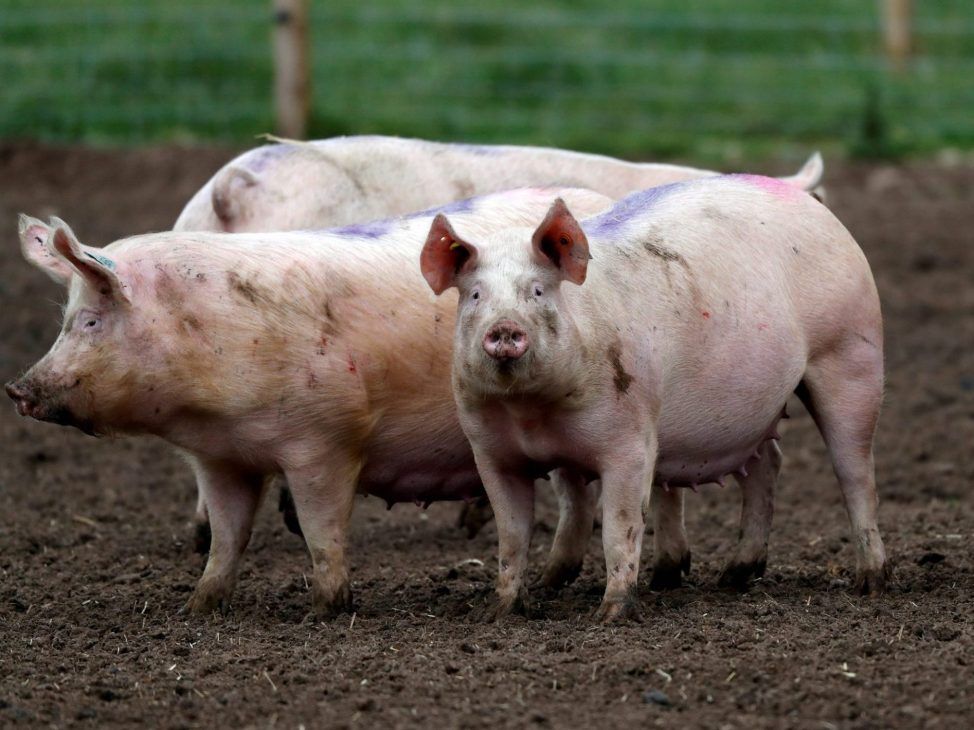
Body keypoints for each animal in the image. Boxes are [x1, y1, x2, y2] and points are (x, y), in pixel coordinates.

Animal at [6, 187, 617, 618]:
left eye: (91, 320)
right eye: (65, 320)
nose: (17, 390)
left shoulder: (323, 440)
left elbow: (322, 528)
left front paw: (325, 610)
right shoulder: (219, 460)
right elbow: (227, 537)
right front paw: (196, 607)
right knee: (575, 489)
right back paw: (554, 579)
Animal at [421, 174, 889, 621]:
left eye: (537, 291)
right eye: (476, 295)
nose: (503, 328)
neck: (530, 411)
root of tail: (819, 210)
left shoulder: (630, 440)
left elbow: (620, 526)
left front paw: (611, 614)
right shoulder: (491, 453)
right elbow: (512, 535)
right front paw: (502, 612)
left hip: (851, 353)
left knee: (855, 471)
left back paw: (870, 583)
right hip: (757, 411)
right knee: (767, 465)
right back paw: (733, 577)